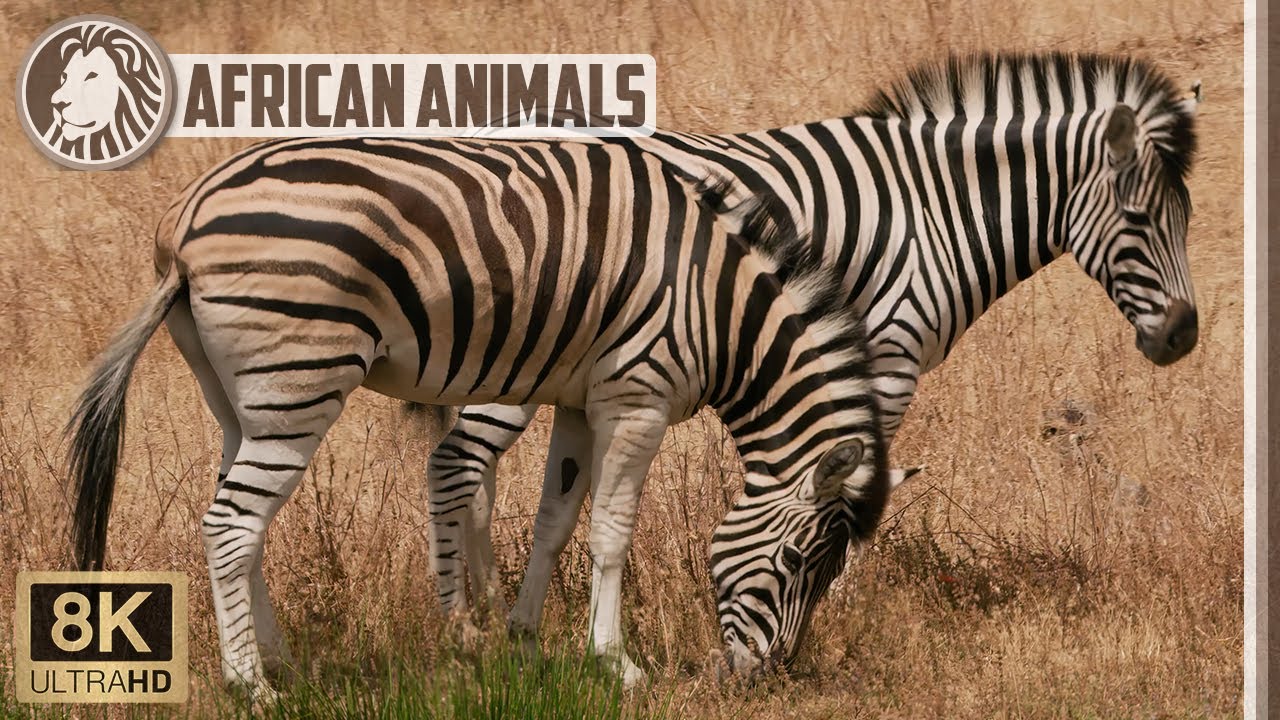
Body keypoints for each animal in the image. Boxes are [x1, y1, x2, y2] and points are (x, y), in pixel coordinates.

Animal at [66, 138, 894, 698]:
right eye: (800, 563)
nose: (766, 677)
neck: (717, 305)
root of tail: (185, 224)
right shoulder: (638, 397)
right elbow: (610, 533)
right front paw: (616, 663)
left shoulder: (578, 399)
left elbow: (555, 521)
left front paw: (526, 642)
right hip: (299, 377)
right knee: (230, 525)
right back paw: (254, 686)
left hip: (243, 399)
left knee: (244, 523)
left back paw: (283, 665)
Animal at [423, 52, 1202, 643]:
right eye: (1139, 219)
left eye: (1187, 218)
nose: (1184, 335)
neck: (938, 212)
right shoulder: (889, 353)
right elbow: (864, 472)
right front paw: (846, 588)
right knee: (462, 464)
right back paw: (471, 621)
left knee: (478, 475)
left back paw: (493, 605)